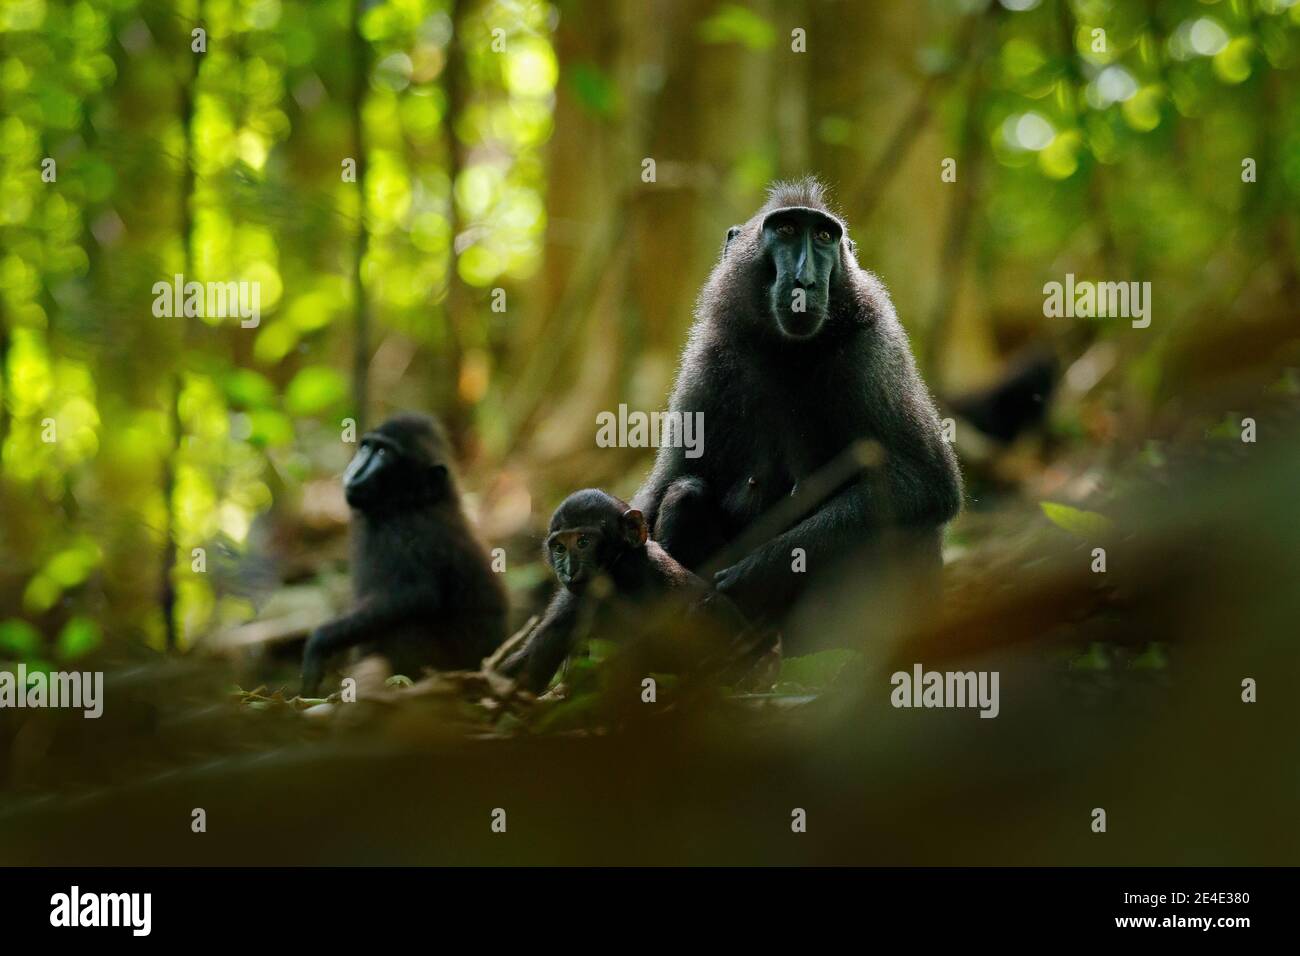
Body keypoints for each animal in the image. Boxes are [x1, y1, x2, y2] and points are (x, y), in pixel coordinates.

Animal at [300, 413, 507, 696]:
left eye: (383, 452)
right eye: (366, 447)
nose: (356, 470)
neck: (413, 502)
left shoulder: (406, 531)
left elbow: (414, 594)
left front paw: (319, 644)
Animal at [632, 178, 963, 638]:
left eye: (823, 237)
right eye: (787, 230)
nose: (806, 281)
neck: (786, 351)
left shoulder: (876, 346)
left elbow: (926, 482)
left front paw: (749, 574)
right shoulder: (708, 359)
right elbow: (664, 486)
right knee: (684, 492)